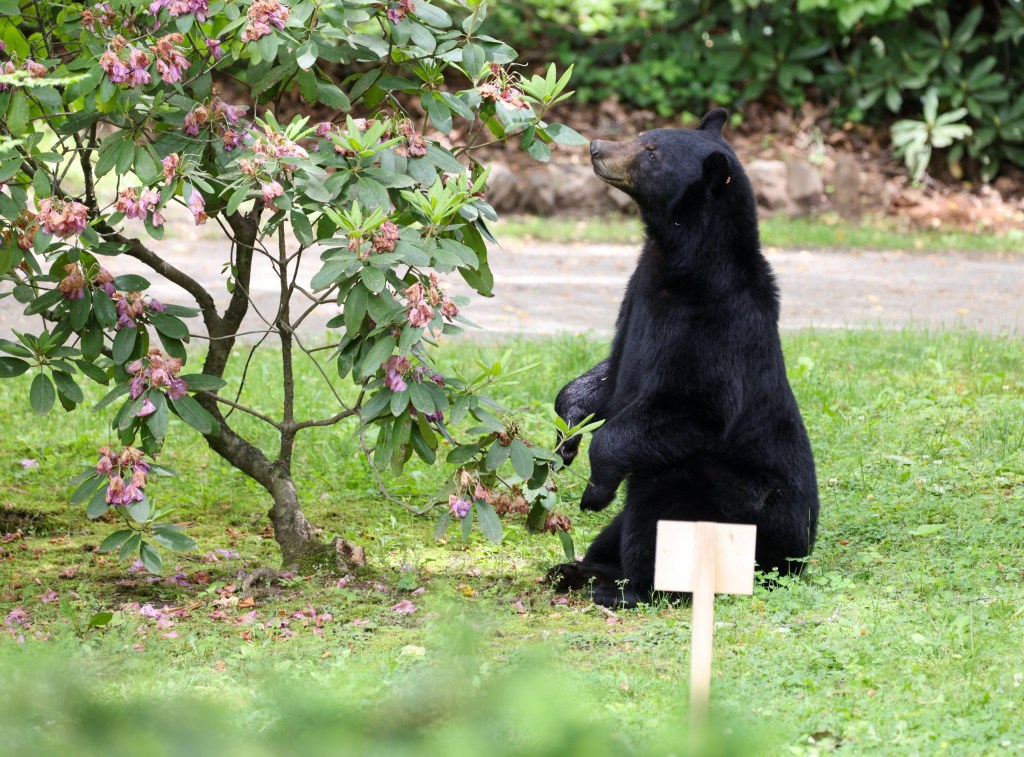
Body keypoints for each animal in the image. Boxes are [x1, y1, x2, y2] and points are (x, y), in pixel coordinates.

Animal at [548, 108, 819, 609]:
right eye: (644, 134)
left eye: (652, 152)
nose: (596, 146)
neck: (678, 262)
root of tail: (799, 556)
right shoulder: (635, 299)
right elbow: (610, 375)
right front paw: (566, 434)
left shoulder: (716, 323)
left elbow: (694, 405)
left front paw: (596, 487)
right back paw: (579, 568)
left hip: (743, 508)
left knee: (665, 502)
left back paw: (628, 588)